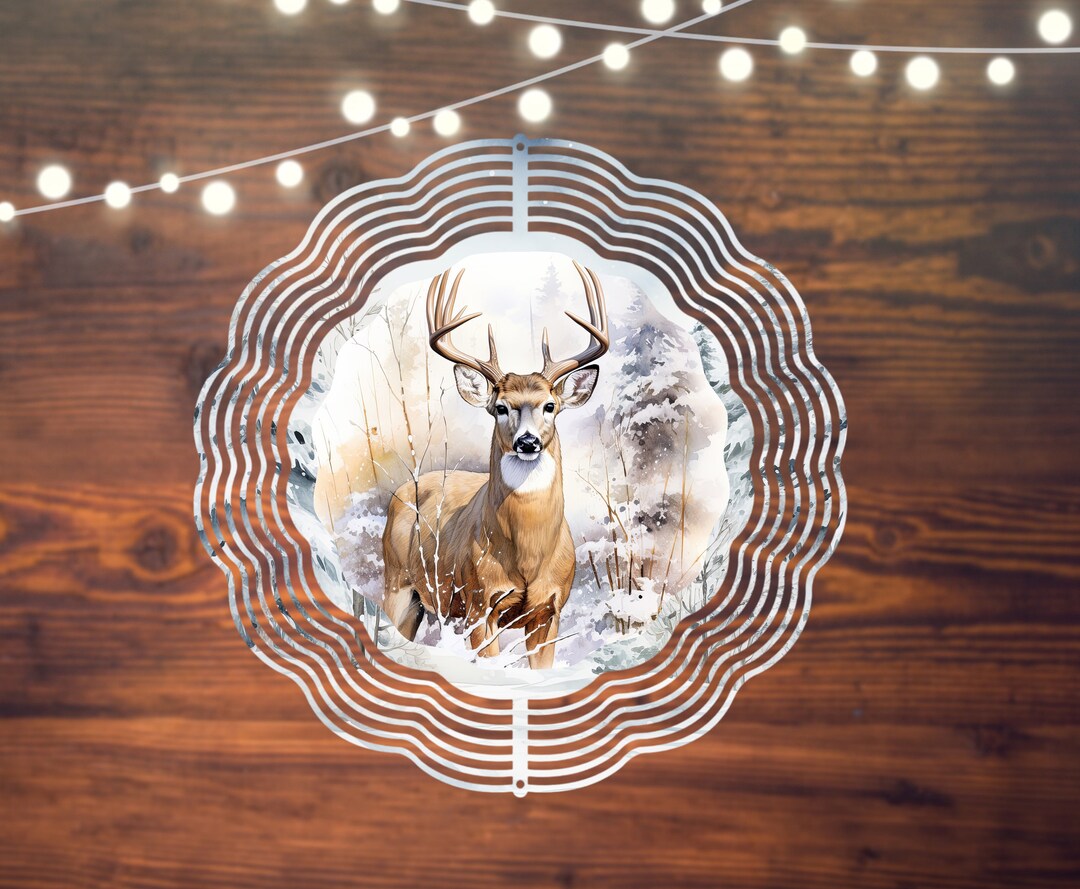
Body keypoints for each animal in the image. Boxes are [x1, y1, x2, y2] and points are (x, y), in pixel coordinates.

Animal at [380, 262, 609, 669]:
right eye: (500, 407)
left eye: (550, 405)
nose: (527, 441)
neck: (528, 556)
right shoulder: (479, 604)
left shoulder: (550, 609)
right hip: (398, 584)